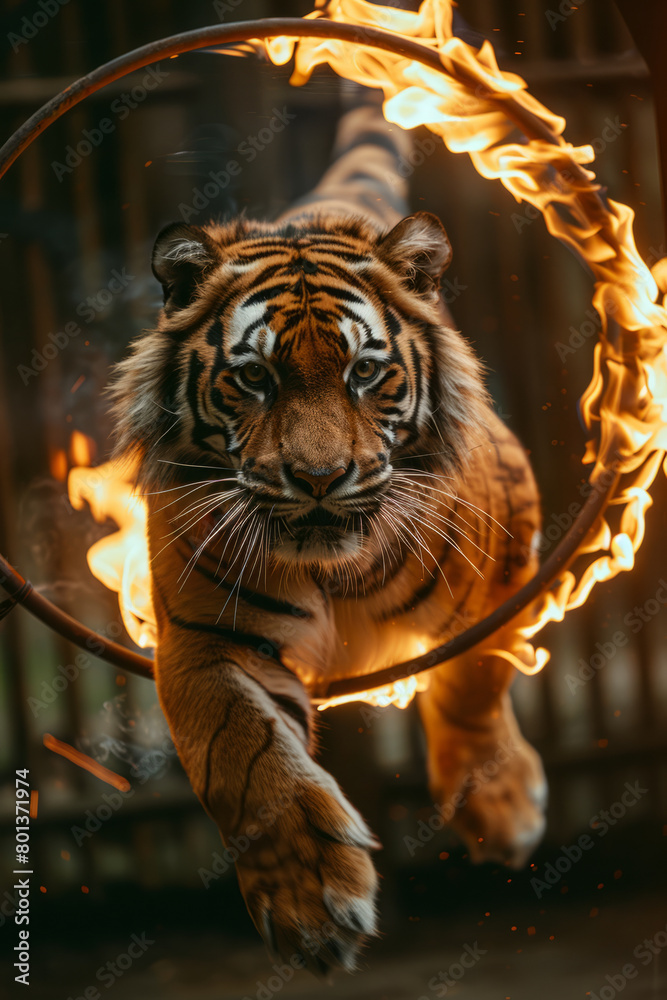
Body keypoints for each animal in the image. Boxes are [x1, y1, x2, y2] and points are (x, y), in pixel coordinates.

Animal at [109, 100, 547, 975]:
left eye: (363, 374)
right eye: (254, 378)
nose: (317, 477)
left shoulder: (508, 563)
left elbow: (473, 683)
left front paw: (499, 807)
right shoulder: (206, 640)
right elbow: (242, 756)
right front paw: (311, 903)